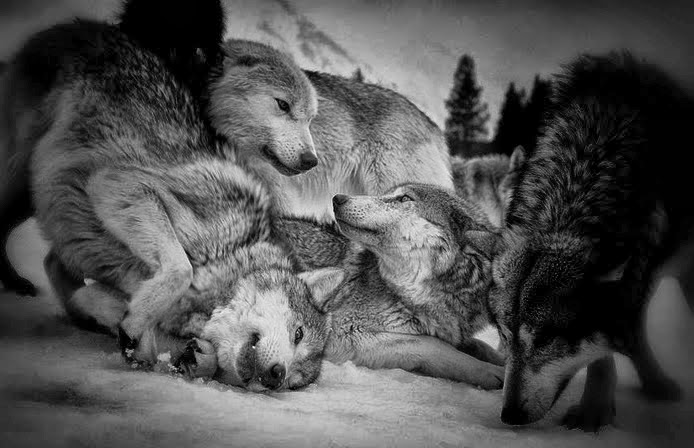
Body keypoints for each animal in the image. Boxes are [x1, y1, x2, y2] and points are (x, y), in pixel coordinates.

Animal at [1, 19, 337, 391]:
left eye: (295, 380)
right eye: (298, 333)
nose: (276, 378)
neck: (230, 257)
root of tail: (79, 25)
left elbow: (138, 336)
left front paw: (172, 350)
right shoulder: (120, 185)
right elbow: (178, 268)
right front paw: (136, 325)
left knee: (52, 262)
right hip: (21, 179)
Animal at [273, 184, 507, 389]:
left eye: (404, 198)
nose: (338, 198)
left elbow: (480, 346)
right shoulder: (344, 335)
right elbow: (435, 346)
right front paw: (492, 372)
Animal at [487, 52, 694, 431]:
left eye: (548, 339)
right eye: (508, 336)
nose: (510, 416)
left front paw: (593, 410)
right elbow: (602, 352)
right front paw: (594, 408)